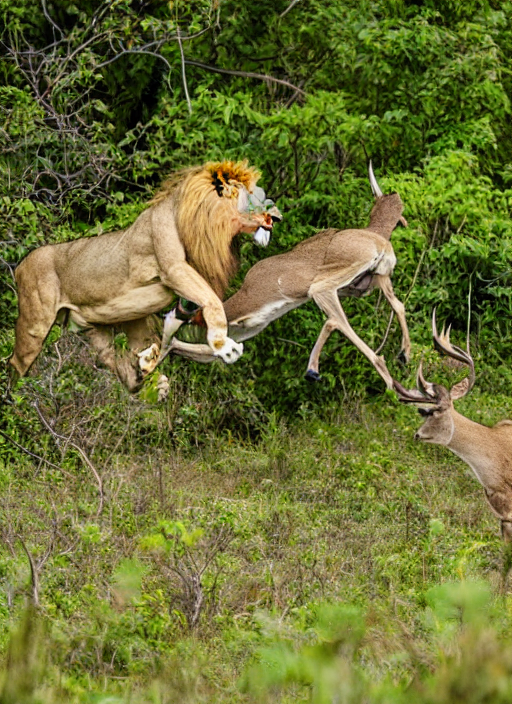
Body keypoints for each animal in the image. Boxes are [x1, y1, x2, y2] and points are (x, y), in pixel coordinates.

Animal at [9, 160, 282, 390]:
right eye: (256, 197)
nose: (277, 217)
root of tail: (21, 265)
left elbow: (188, 311)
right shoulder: (174, 268)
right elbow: (212, 302)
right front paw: (222, 344)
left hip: (96, 327)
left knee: (123, 368)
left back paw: (148, 376)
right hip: (35, 325)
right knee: (16, 364)